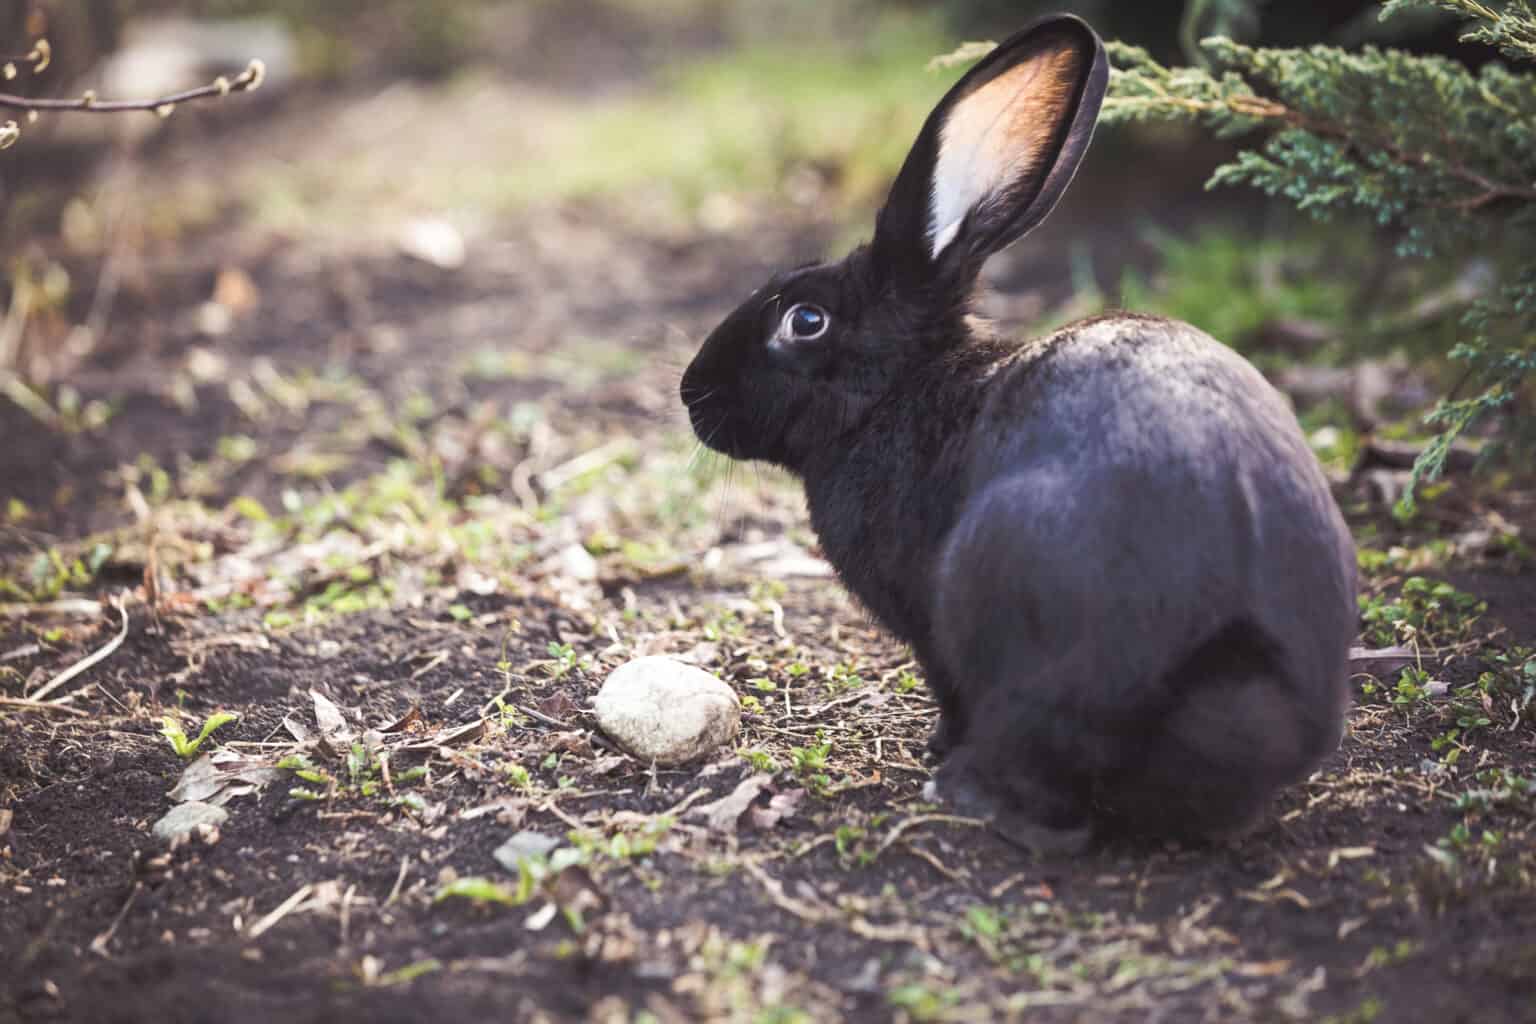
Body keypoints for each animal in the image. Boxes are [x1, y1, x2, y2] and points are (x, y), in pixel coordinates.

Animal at [679, 14, 1357, 853]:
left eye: (805, 320)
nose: (691, 393)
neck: (901, 389)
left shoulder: (929, 629)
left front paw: (937, 748)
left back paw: (966, 791)